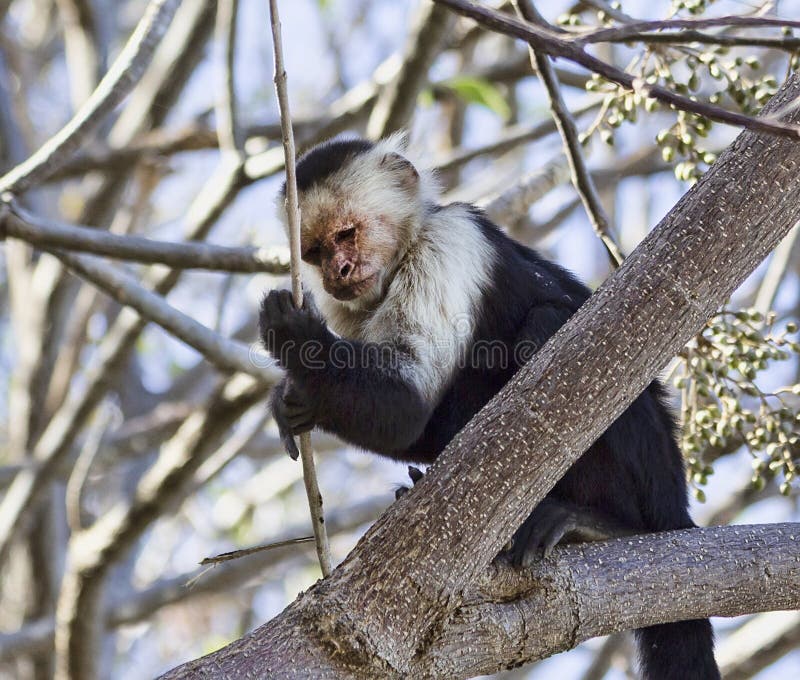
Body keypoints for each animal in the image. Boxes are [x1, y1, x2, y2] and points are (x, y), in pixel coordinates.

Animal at [259, 135, 720, 680]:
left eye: (347, 234)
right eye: (314, 251)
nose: (339, 272)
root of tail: (676, 504)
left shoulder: (450, 245)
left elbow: (406, 405)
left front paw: (292, 334)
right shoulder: (349, 308)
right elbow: (416, 420)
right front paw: (294, 400)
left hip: (648, 468)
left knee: (548, 324)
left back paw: (599, 526)